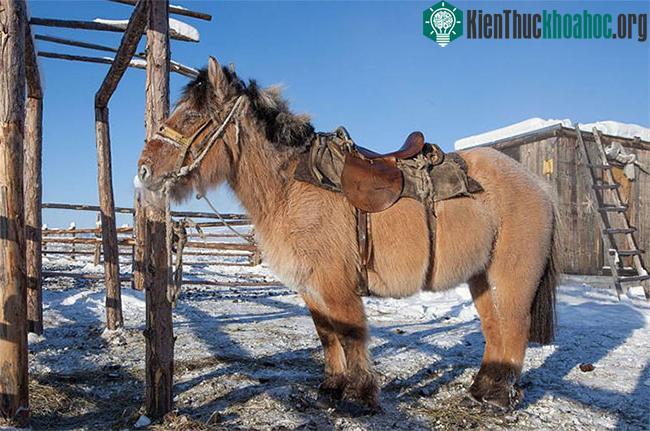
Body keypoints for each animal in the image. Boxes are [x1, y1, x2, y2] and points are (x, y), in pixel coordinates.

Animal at [135, 57, 556, 412]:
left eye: (192, 116)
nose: (143, 171)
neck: (291, 186)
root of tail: (537, 184)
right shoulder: (310, 287)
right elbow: (327, 335)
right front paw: (332, 388)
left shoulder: (336, 284)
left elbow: (351, 334)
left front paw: (359, 394)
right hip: (481, 277)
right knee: (495, 329)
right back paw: (482, 389)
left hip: (512, 276)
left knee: (514, 326)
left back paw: (498, 398)